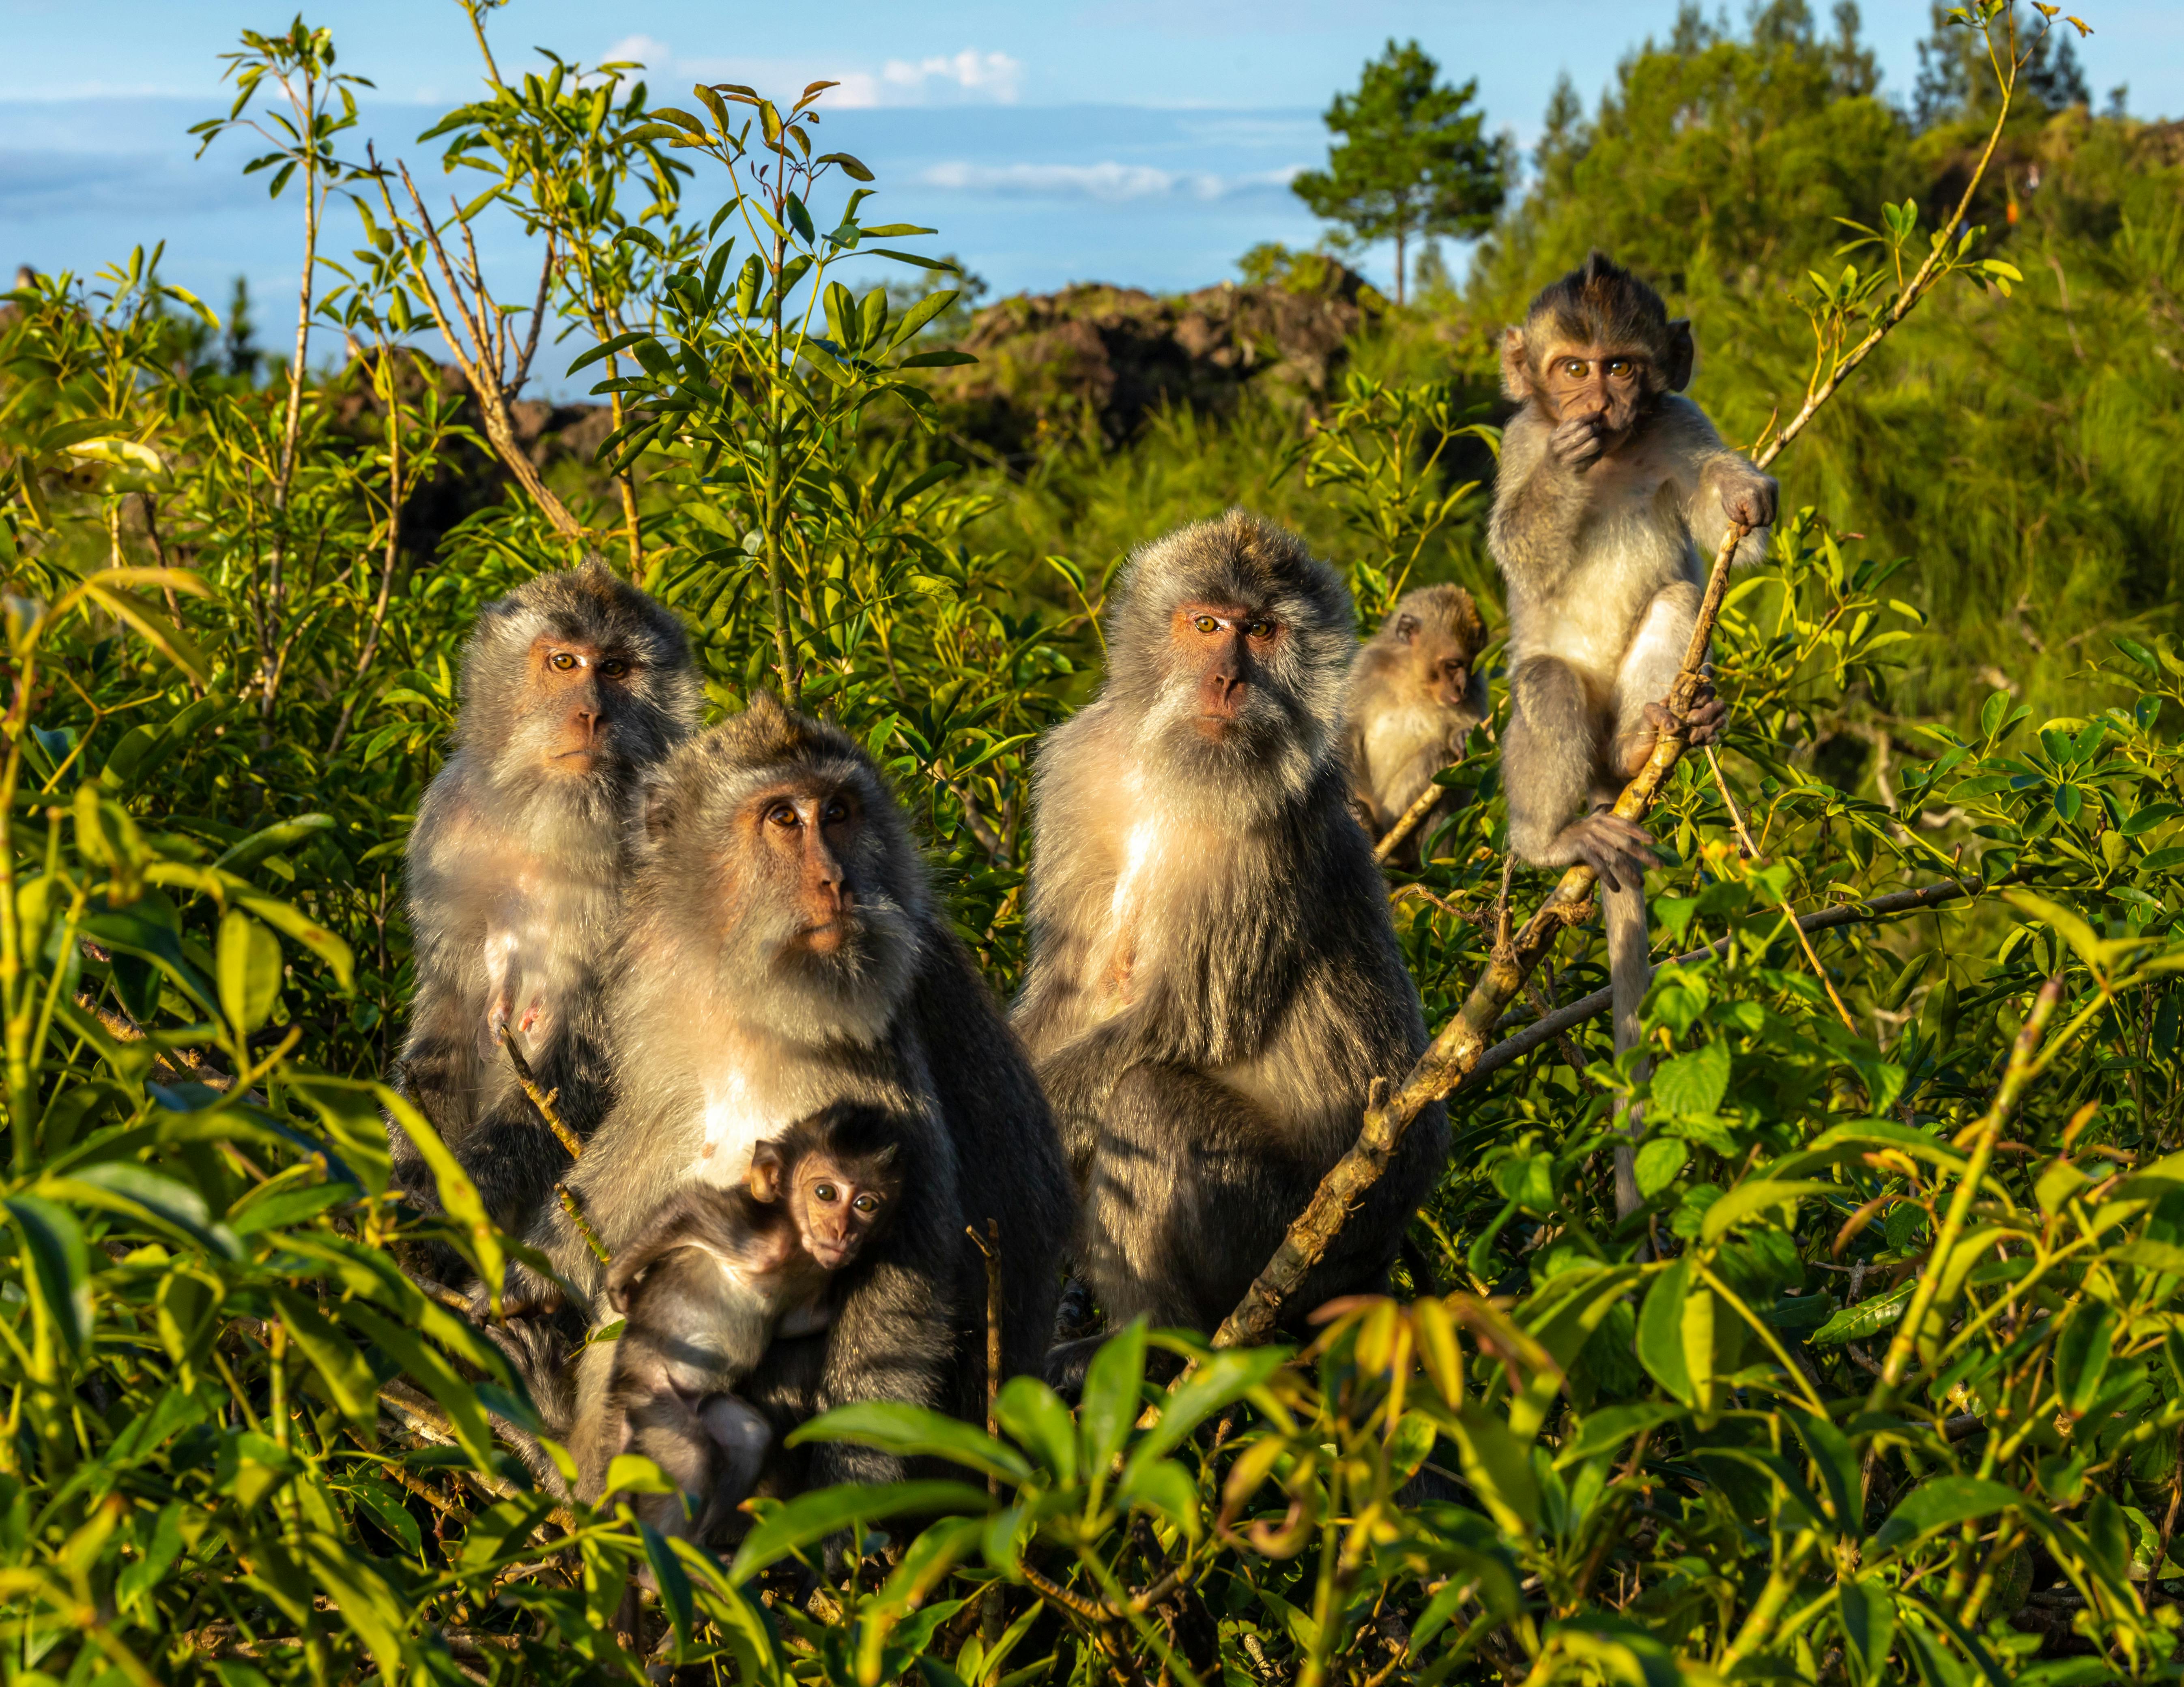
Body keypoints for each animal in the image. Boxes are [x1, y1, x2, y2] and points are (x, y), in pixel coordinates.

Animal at [389, 559, 701, 1276]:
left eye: (615, 668)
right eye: (564, 662)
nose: (591, 713)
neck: (552, 822)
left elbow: (592, 1050)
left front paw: (460, 1203)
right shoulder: (446, 825)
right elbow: (447, 1014)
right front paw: (411, 1183)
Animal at [573, 1103, 906, 1537]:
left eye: (867, 1204)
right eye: (825, 1193)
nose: (842, 1233)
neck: (799, 1250)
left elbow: (795, 1324)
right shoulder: (751, 1232)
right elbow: (687, 1208)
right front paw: (618, 1282)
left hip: (705, 1406)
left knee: (750, 1437)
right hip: (650, 1397)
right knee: (690, 1456)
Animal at [1012, 510, 1450, 1379]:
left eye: (1263, 631)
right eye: (1207, 625)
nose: (1227, 683)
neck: (1172, 771)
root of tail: (1377, 1261)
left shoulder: (1265, 827)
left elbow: (1186, 1020)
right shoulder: (1079, 766)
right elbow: (1068, 989)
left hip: (1290, 1235)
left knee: (1148, 1103)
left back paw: (1153, 1345)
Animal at [1344, 583, 1493, 863]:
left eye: (1470, 667)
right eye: (1453, 665)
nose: (1463, 687)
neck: (1415, 680)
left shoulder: (1478, 687)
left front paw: (1462, 736)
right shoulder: (1365, 668)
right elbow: (1343, 736)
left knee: (1440, 760)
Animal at [1487, 251, 1776, 1216]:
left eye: (1620, 366)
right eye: (1571, 368)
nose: (1596, 404)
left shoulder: (1682, 420)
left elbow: (1728, 532)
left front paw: (1743, 494)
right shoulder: (1519, 441)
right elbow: (1518, 541)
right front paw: (1564, 471)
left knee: (1682, 595)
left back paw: (1669, 727)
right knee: (1543, 682)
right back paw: (1554, 838)